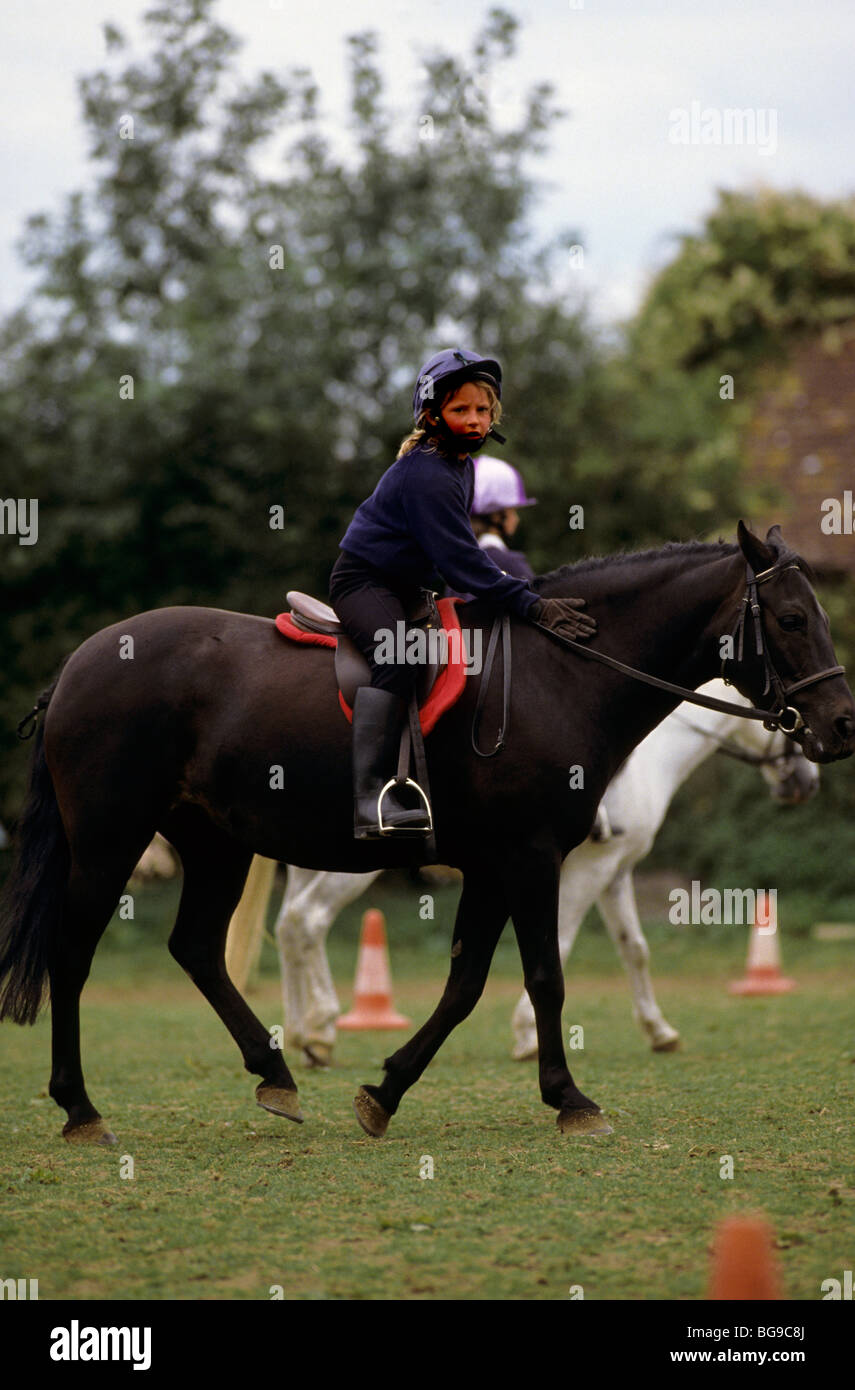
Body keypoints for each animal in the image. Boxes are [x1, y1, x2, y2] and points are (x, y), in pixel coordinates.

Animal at [246, 681, 818, 1066]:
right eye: (779, 716)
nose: (806, 782)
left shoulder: (615, 873)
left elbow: (634, 949)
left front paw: (659, 1031)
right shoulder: (583, 872)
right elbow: (558, 944)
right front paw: (526, 1034)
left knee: (291, 927)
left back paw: (301, 1034)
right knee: (309, 921)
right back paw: (320, 1029)